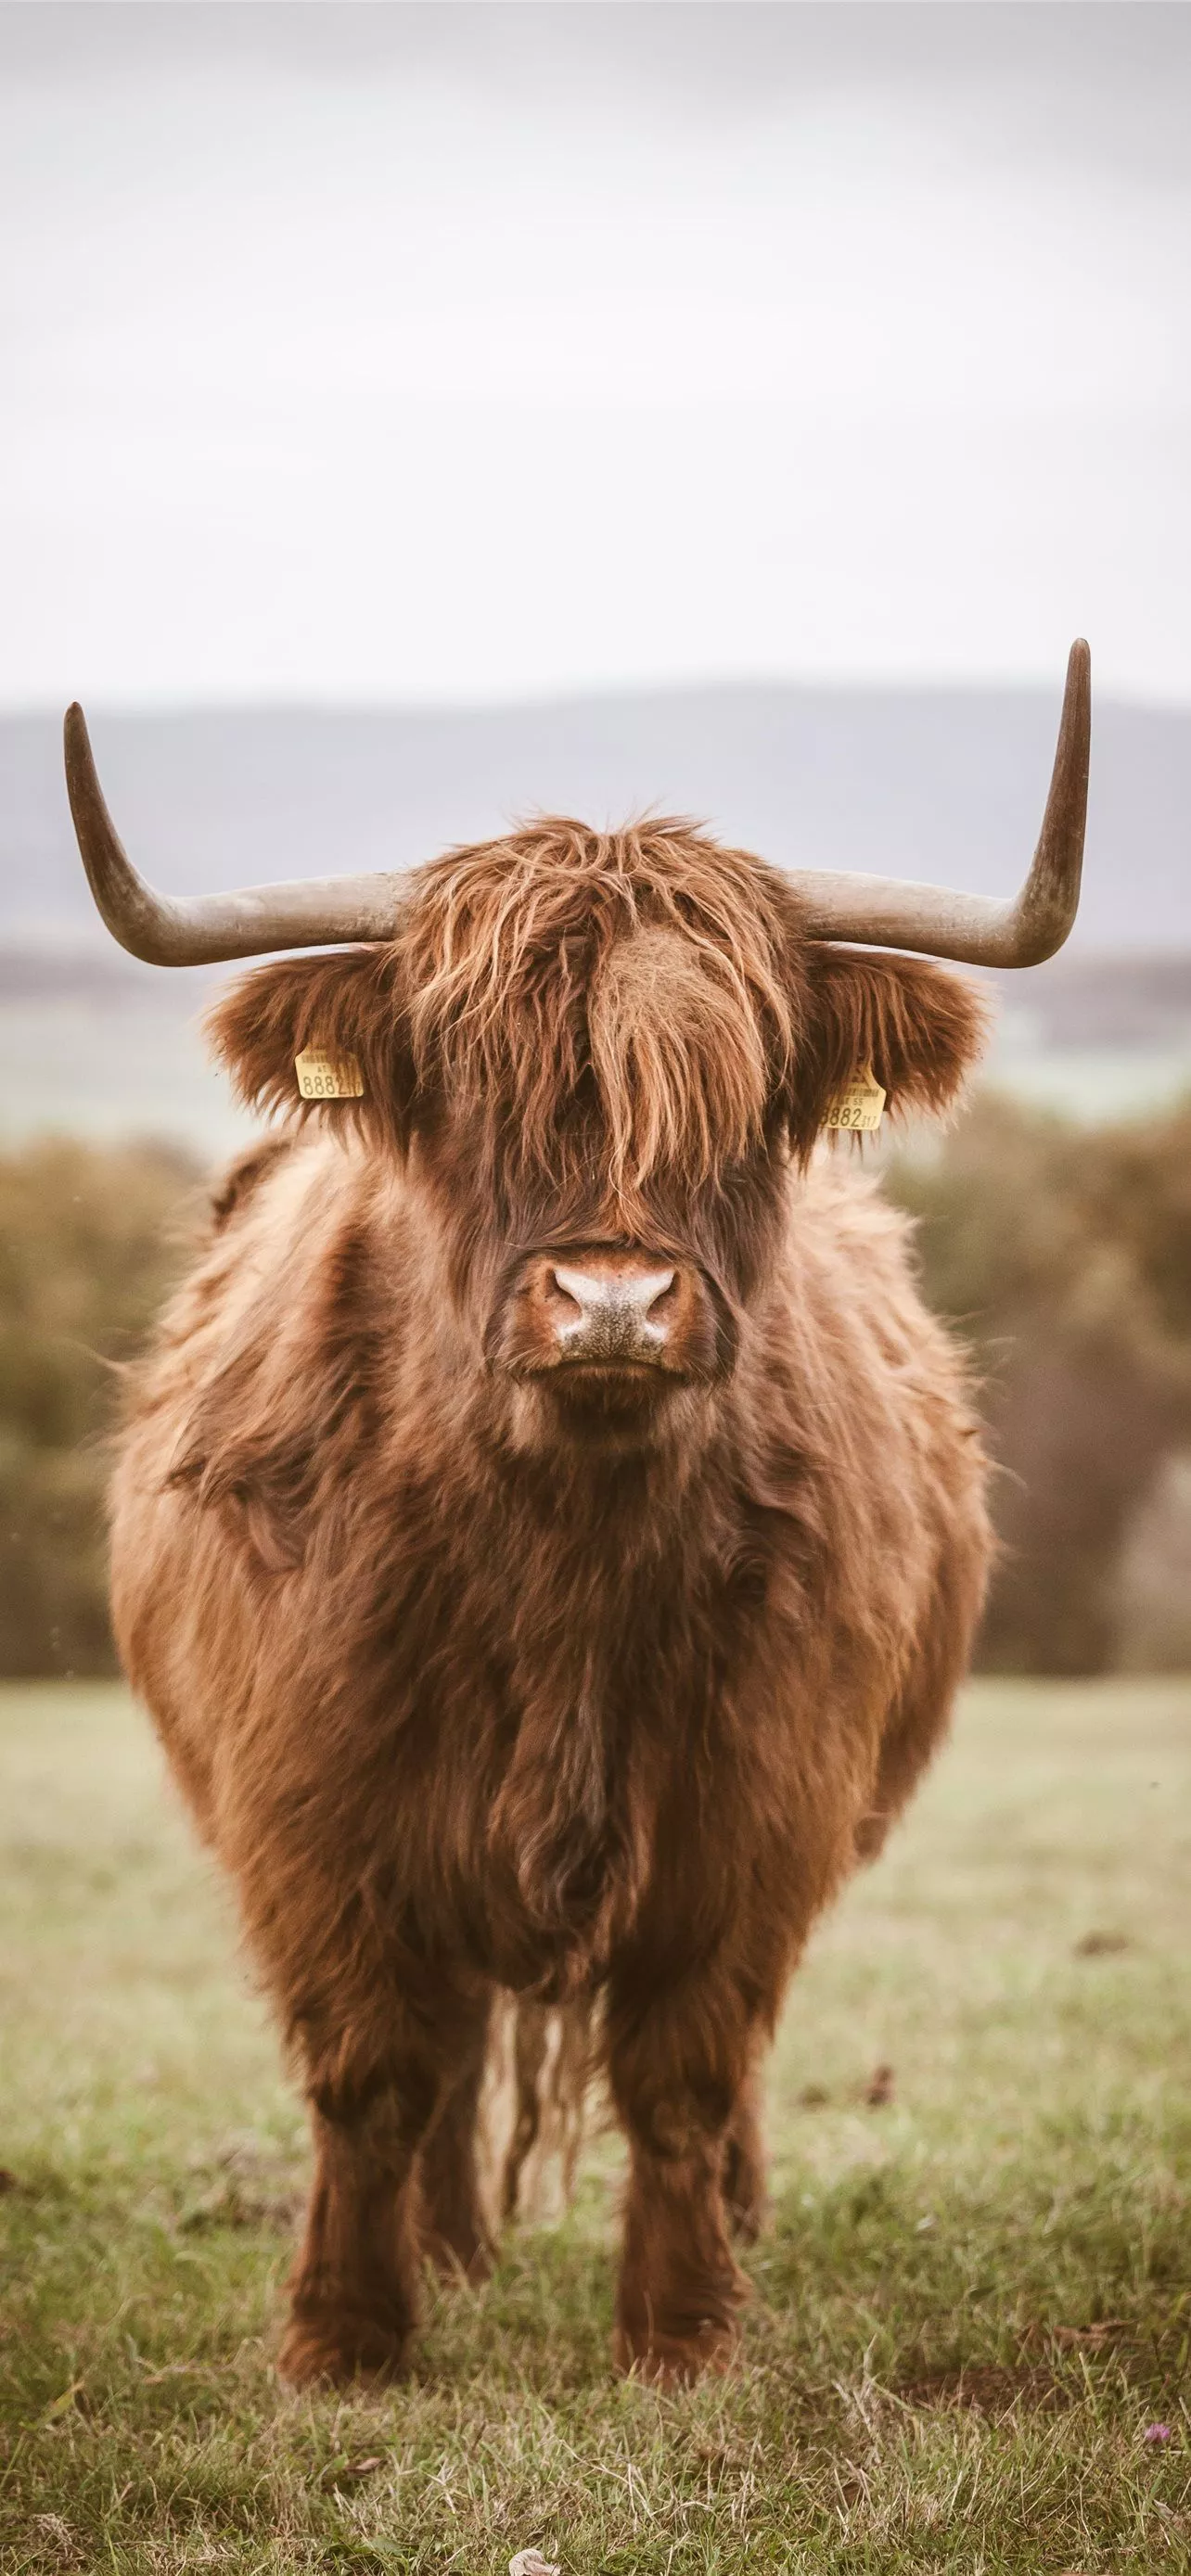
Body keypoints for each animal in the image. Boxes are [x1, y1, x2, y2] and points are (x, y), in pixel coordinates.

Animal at [62, 645, 1090, 2385]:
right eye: (469, 1086)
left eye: (740, 1094)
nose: (612, 1298)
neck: (560, 1552)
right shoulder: (314, 1805)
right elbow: (373, 2072)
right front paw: (346, 2334)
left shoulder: (759, 1804)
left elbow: (685, 2068)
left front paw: (682, 2330)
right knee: (456, 2043)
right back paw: (450, 2250)